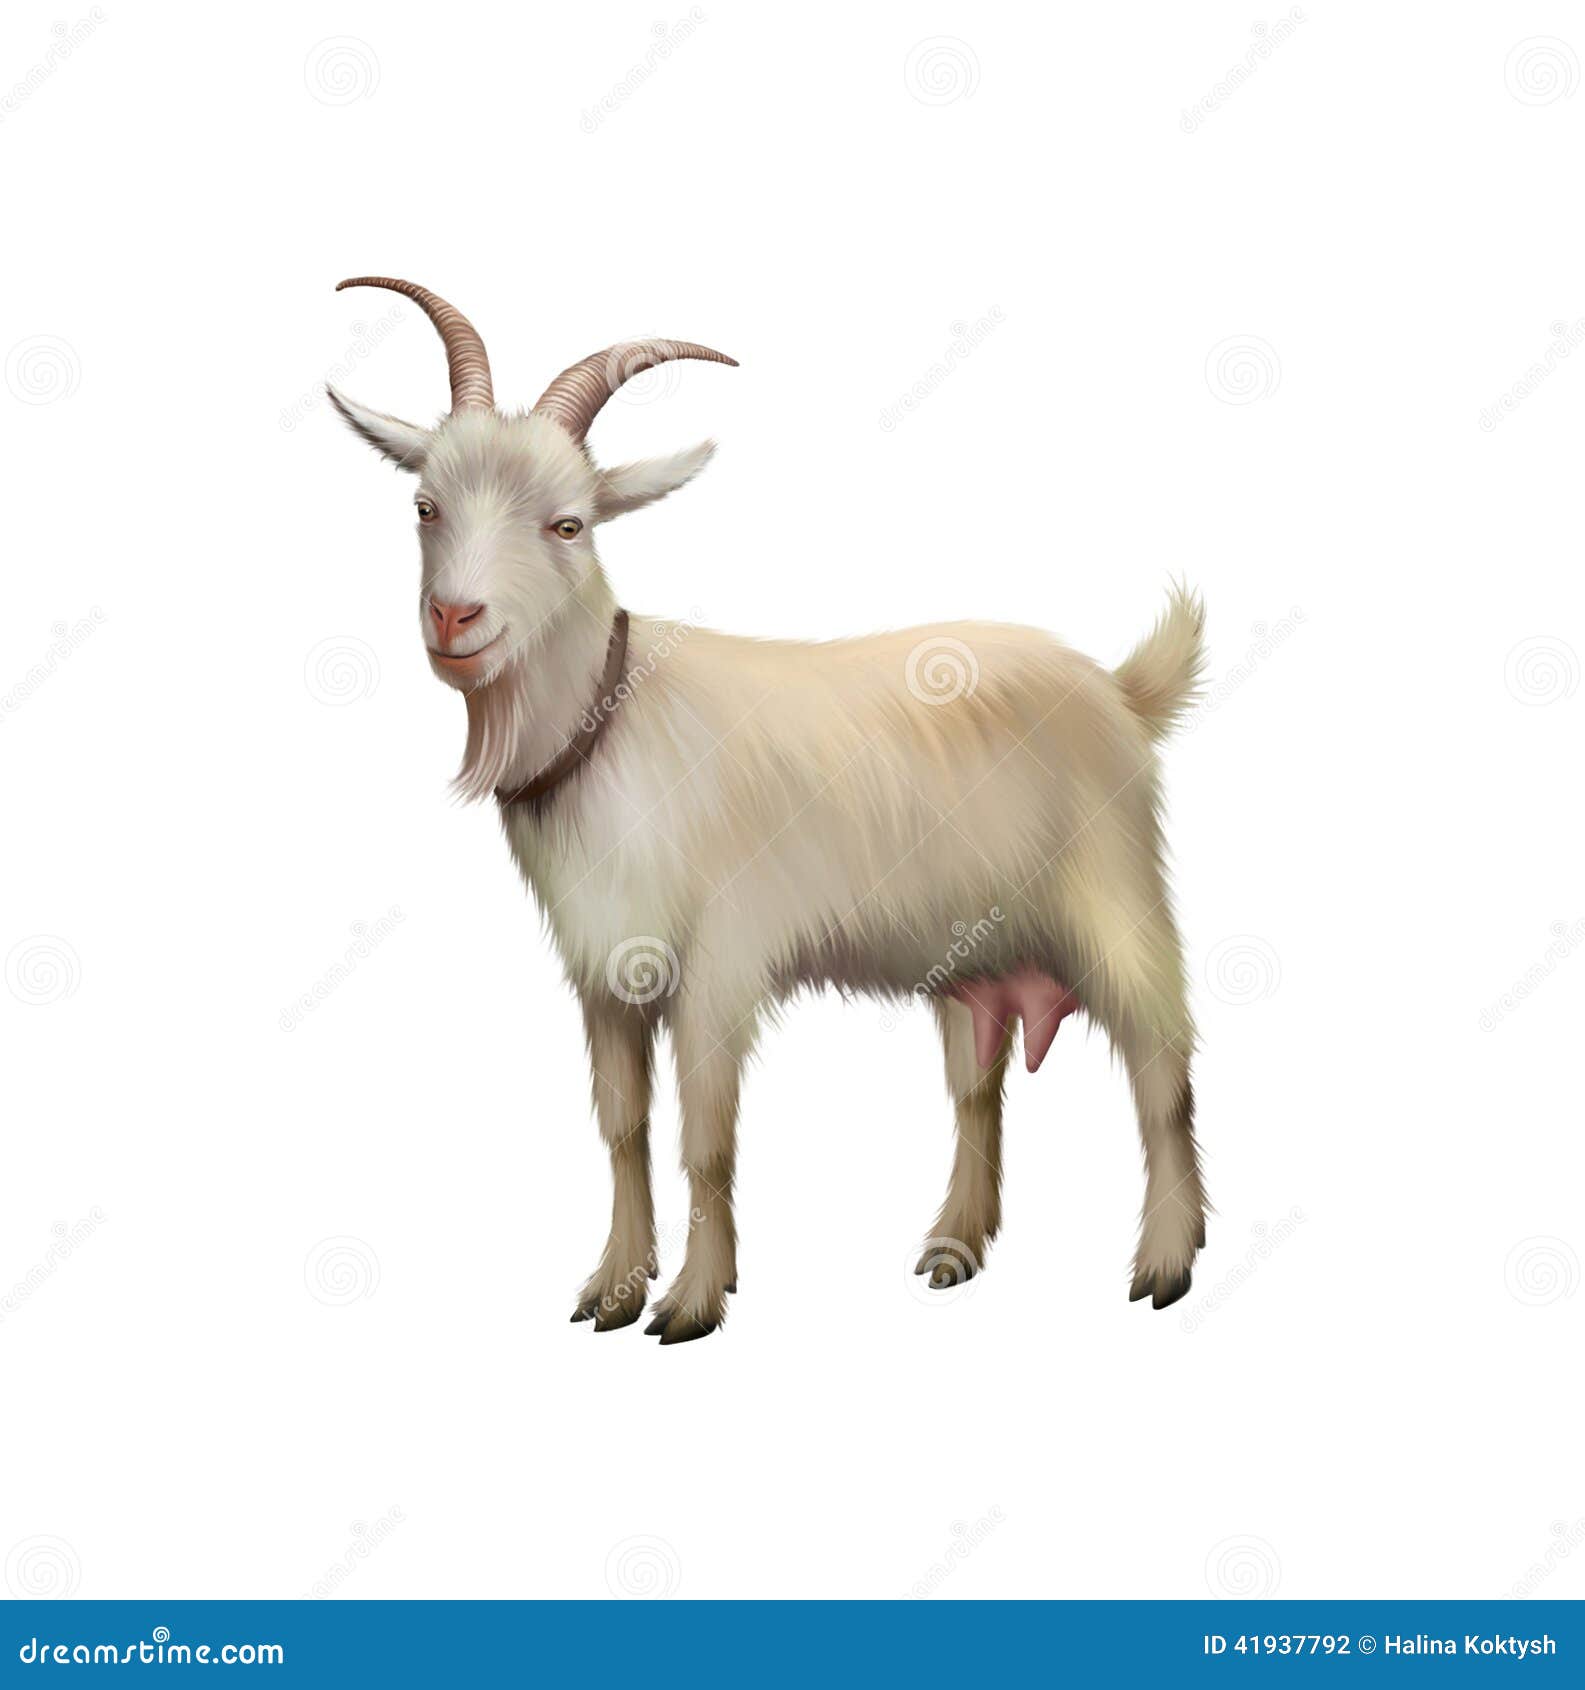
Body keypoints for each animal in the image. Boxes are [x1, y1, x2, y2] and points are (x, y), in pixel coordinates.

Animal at [328, 277, 1208, 1344]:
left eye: (569, 524)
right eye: (425, 505)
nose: (456, 618)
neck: (619, 721)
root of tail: (1120, 688)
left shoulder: (720, 962)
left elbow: (706, 1139)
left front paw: (690, 1303)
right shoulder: (604, 971)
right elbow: (621, 1126)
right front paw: (612, 1288)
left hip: (1112, 889)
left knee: (1162, 1063)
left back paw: (1165, 1261)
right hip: (973, 952)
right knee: (977, 1084)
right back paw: (954, 1247)